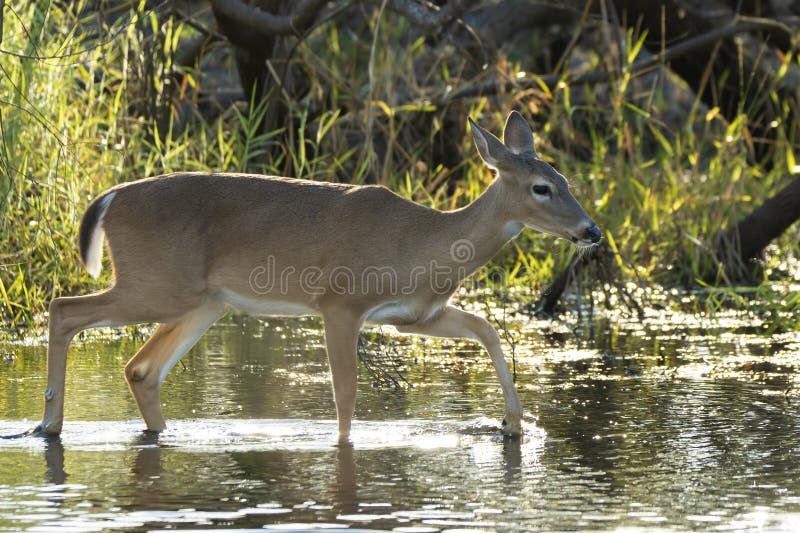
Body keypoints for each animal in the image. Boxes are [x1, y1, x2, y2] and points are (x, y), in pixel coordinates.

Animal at [32, 111, 600, 444]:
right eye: (542, 187)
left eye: (568, 179)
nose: (591, 230)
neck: (425, 243)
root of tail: (110, 197)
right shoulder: (340, 302)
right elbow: (345, 391)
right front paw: (342, 446)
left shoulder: (413, 317)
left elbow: (487, 328)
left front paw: (513, 424)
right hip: (157, 285)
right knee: (63, 309)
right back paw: (48, 424)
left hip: (205, 300)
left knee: (141, 369)